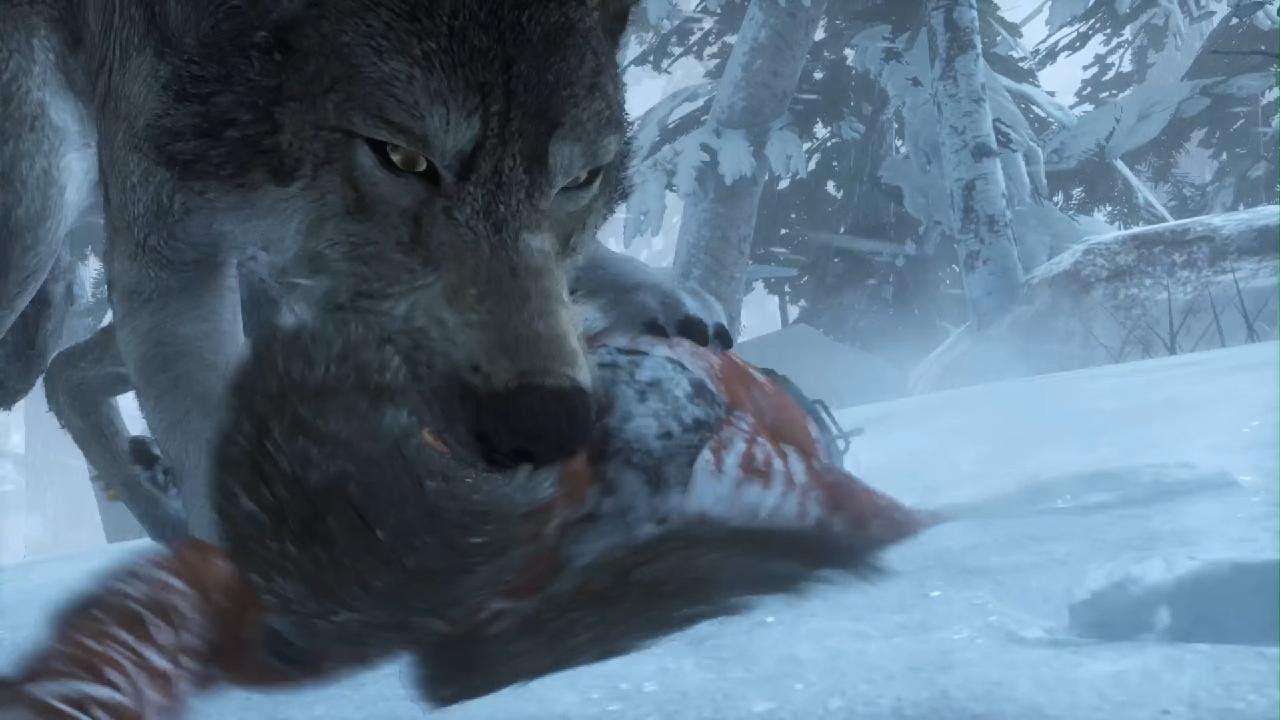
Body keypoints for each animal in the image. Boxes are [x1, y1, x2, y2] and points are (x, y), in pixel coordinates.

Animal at [0, 0, 732, 543]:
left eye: (579, 181)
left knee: (65, 373)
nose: (544, 423)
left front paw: (665, 298)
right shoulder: (170, 263)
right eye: (402, 158)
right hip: (38, 218)